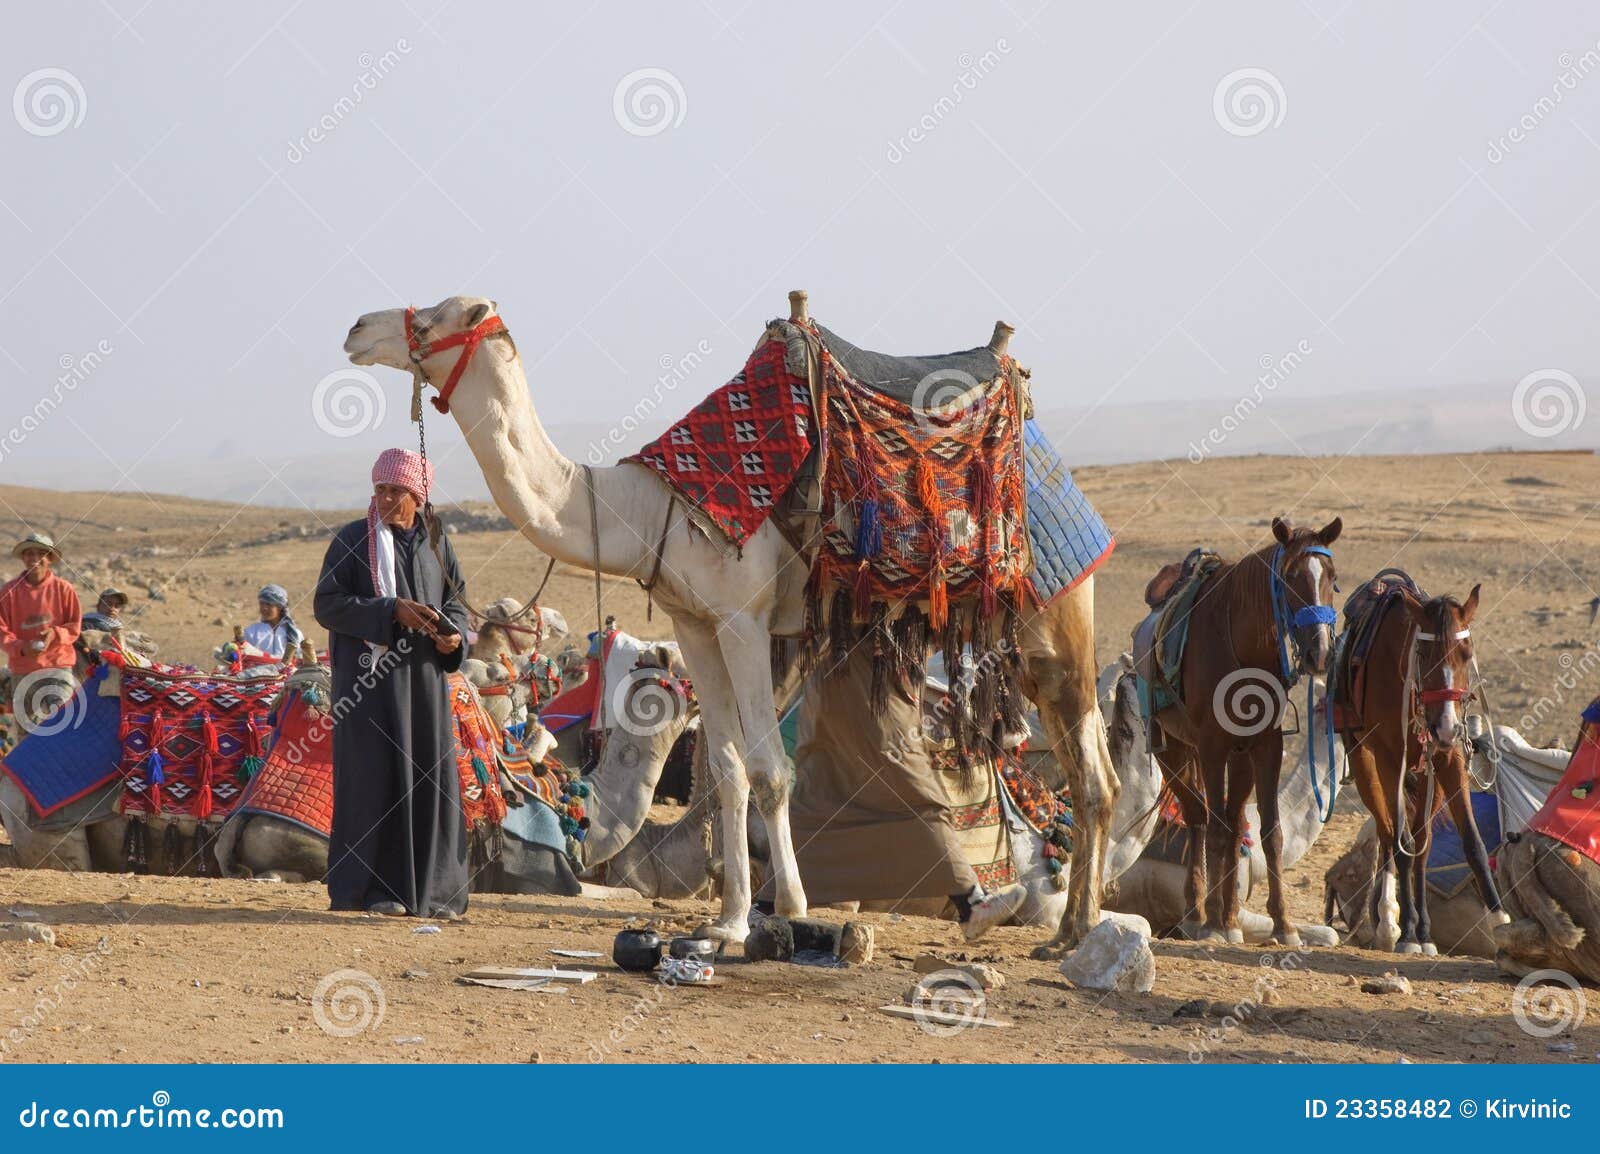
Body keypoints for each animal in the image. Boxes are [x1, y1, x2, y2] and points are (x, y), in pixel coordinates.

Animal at [345, 293, 1120, 949]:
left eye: (437, 316)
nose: (355, 328)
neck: (647, 507)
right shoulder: (695, 623)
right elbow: (724, 769)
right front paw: (728, 918)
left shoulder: (744, 620)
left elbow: (770, 770)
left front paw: (788, 912)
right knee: (1091, 768)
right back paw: (1064, 932)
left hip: (1056, 609)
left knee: (1090, 772)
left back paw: (1075, 930)